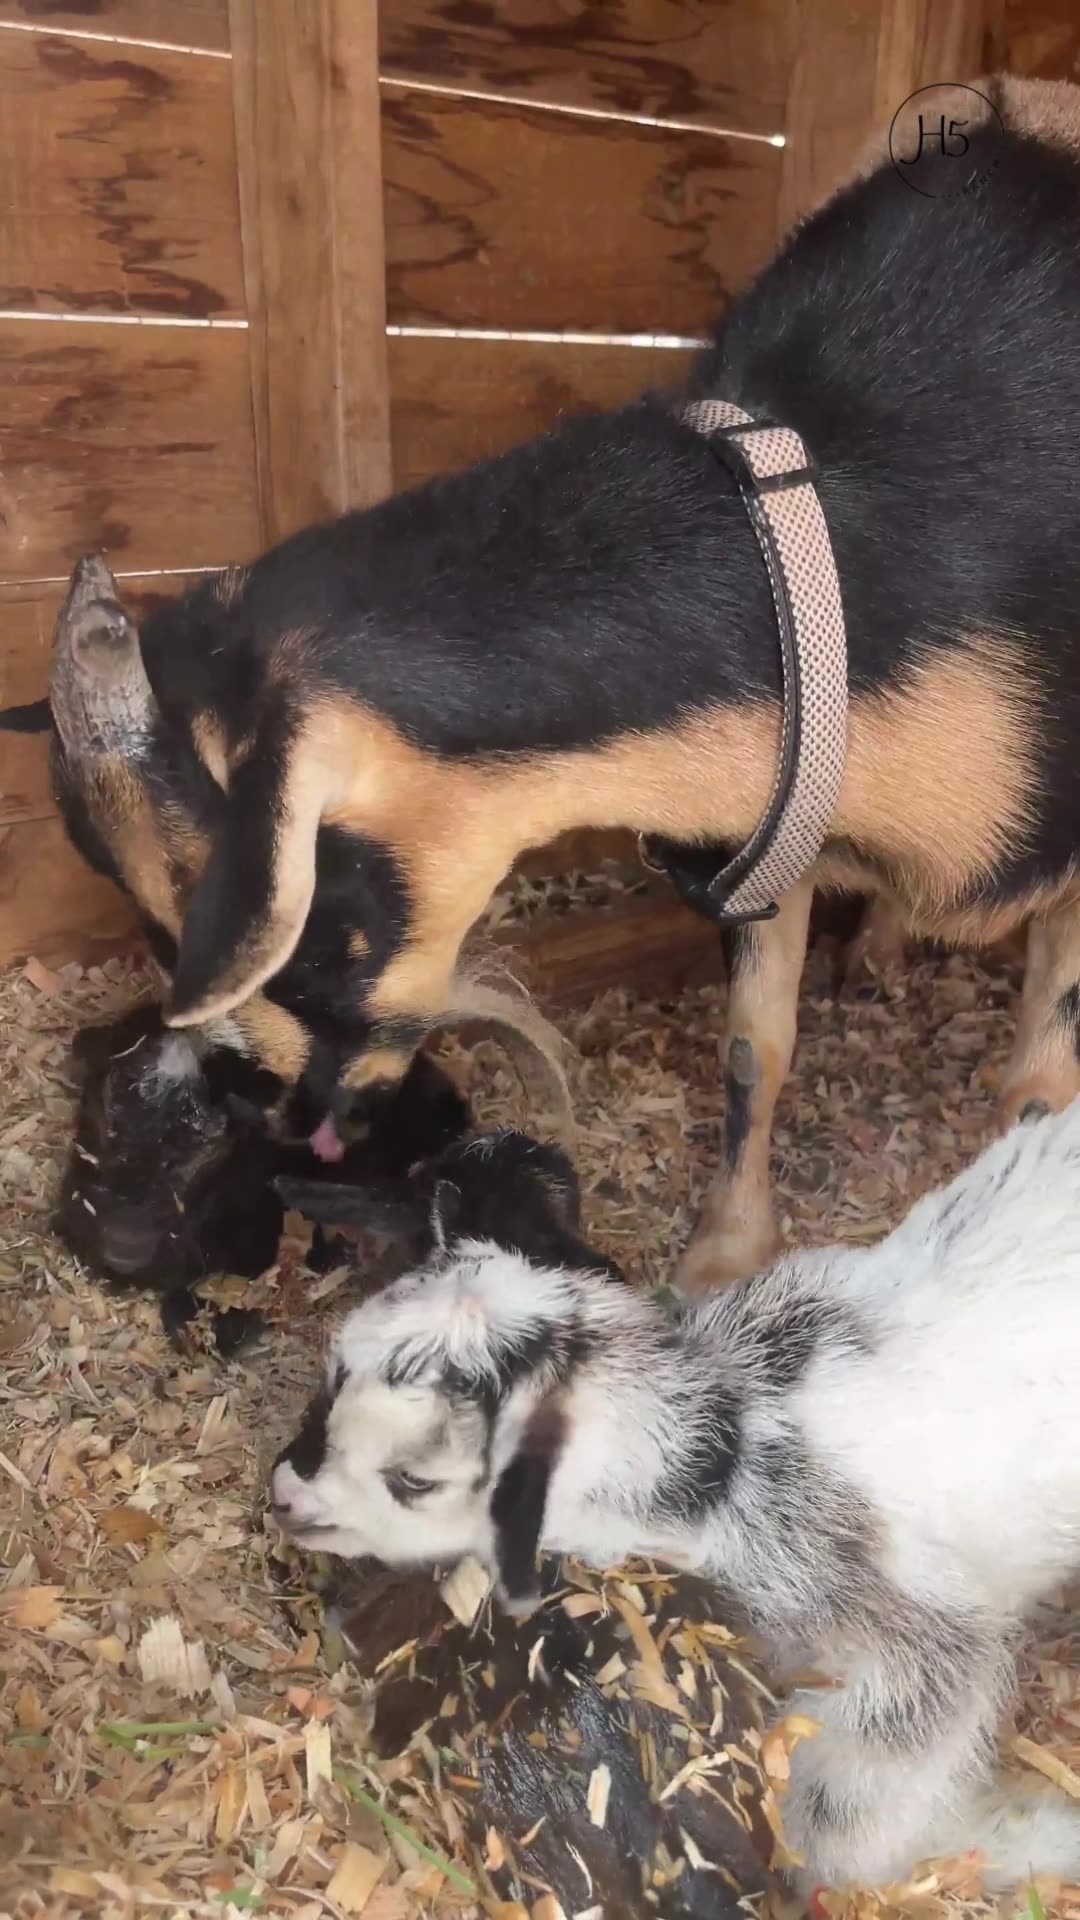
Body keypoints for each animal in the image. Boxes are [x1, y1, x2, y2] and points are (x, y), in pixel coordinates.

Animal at [10, 76, 1080, 1290]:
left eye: (312, 912)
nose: (295, 1118)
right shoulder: (777, 824)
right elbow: (751, 1045)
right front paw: (726, 1254)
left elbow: (1040, 1090)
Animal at [272, 1106, 1080, 1894]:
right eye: (330, 1376)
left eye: (415, 1480)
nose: (284, 1495)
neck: (726, 1455)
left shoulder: (919, 1643)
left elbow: (844, 1816)